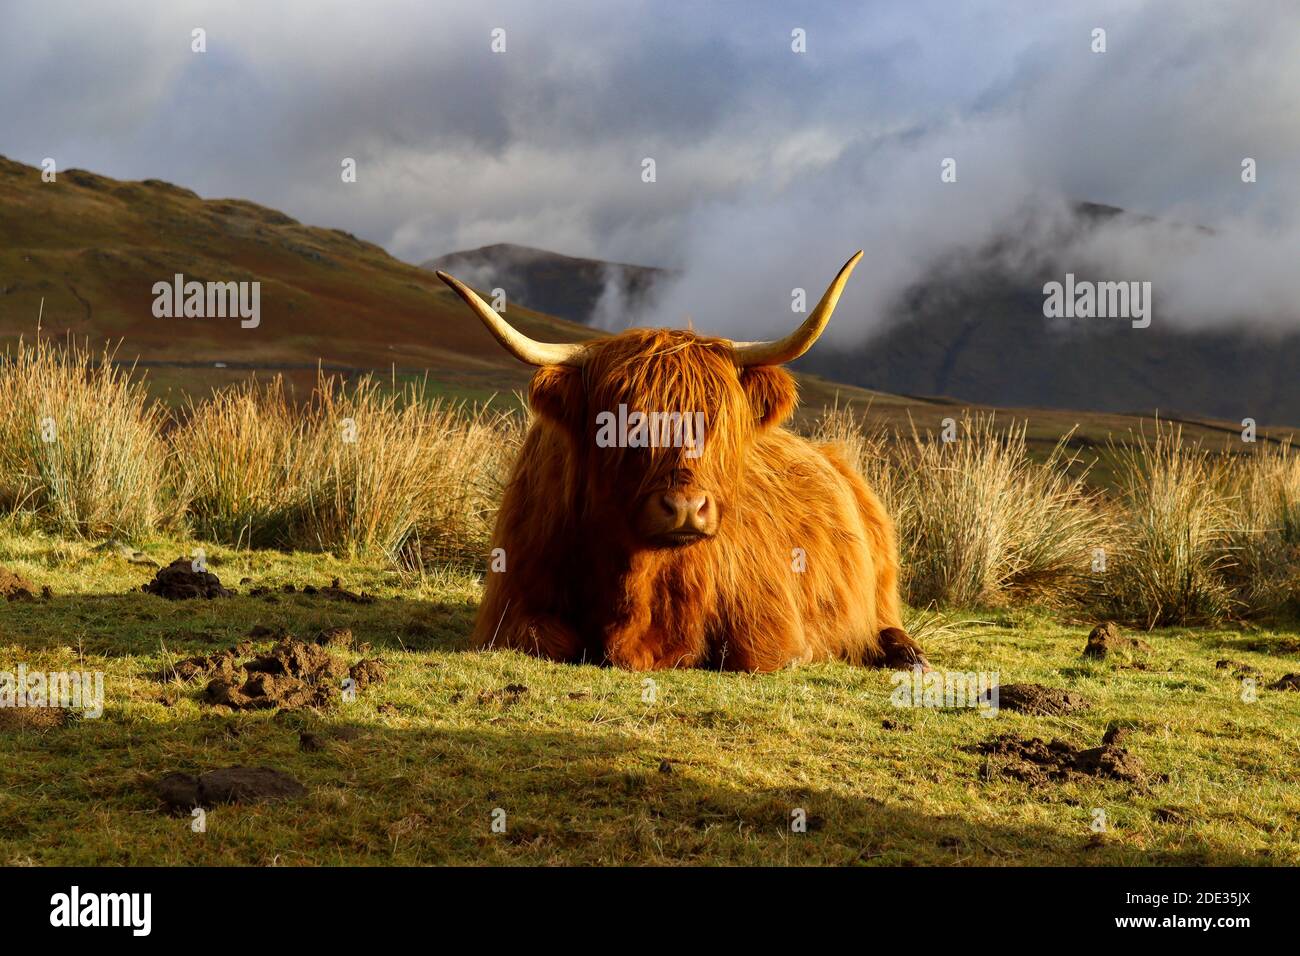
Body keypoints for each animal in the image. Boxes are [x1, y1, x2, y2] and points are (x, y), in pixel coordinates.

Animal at [436, 252, 929, 672]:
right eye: (620, 423)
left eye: (718, 420)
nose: (686, 508)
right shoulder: (512, 605)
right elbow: (542, 640)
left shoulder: (770, 623)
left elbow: (766, 654)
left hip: (882, 585)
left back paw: (910, 655)